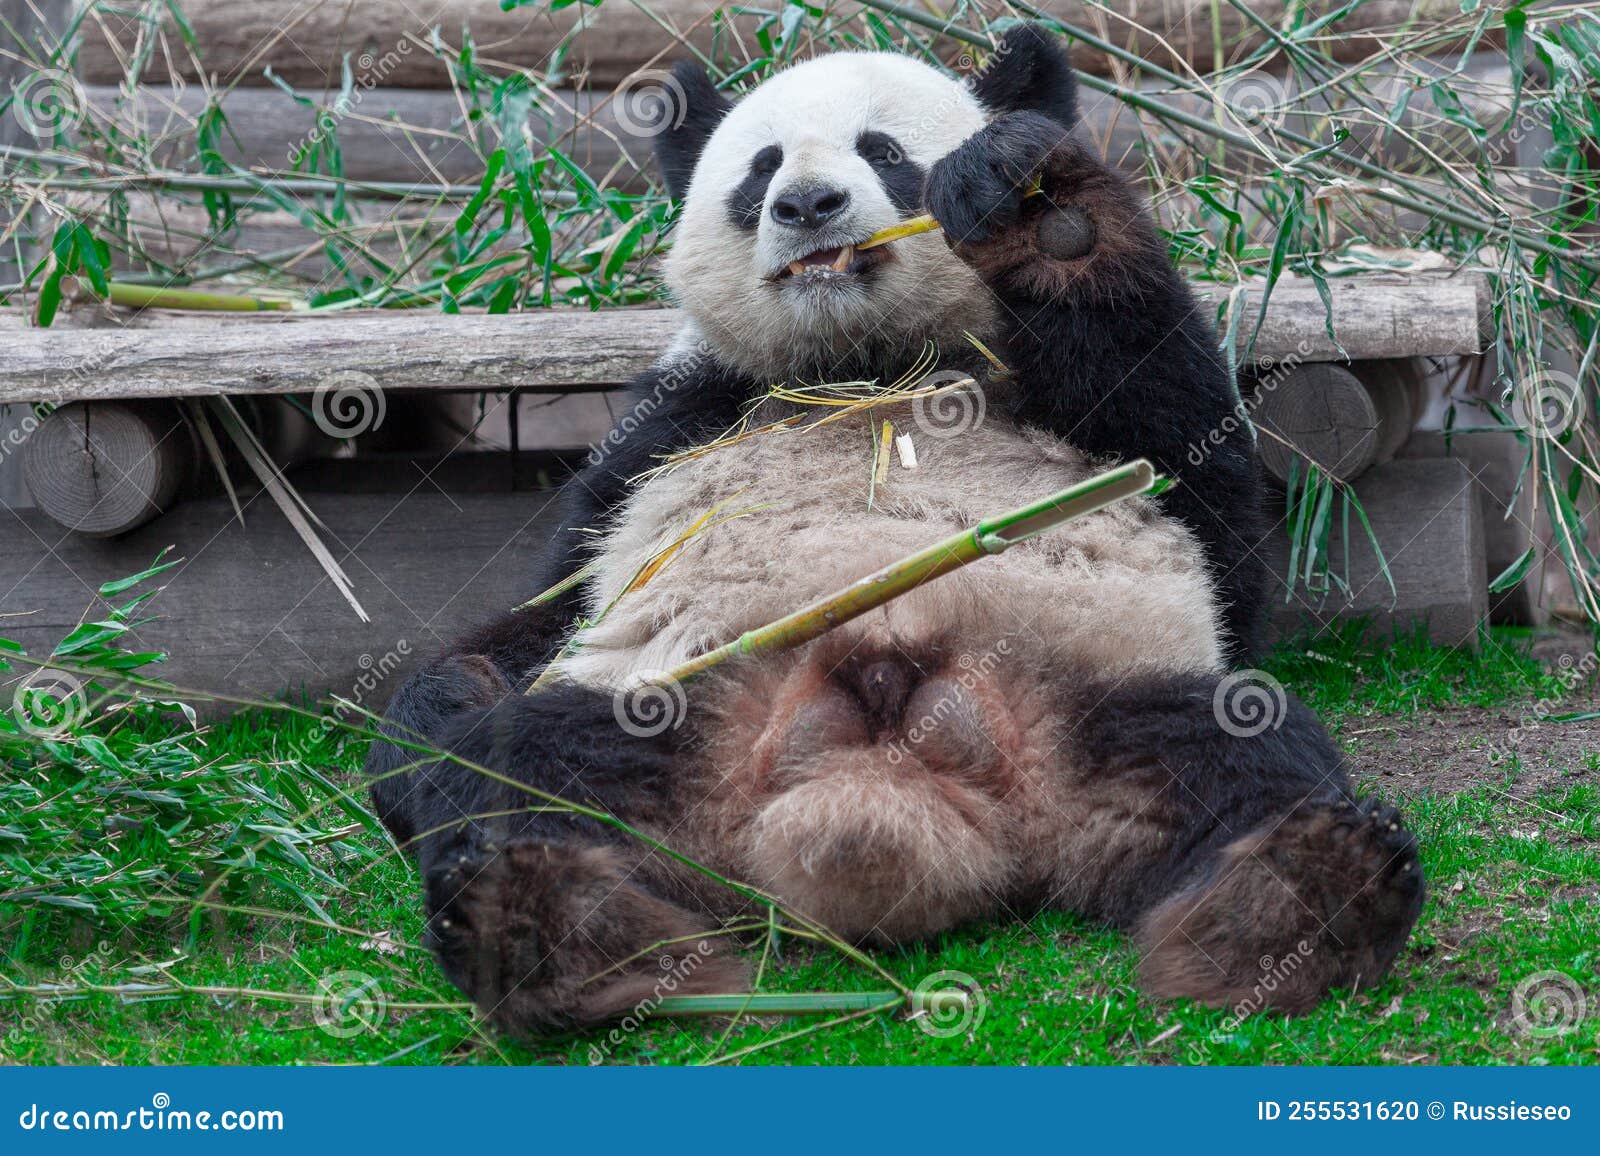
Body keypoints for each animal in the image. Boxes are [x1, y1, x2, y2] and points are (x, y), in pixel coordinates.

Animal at [366, 25, 1424, 1035]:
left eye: (884, 152)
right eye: (760, 167)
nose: (807, 204)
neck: (866, 371)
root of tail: (875, 790)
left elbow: (1215, 523)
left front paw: (1049, 220)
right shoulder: (677, 422)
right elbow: (553, 605)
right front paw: (452, 687)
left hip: (1101, 713)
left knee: (1245, 751)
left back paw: (1297, 900)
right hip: (663, 722)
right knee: (517, 769)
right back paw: (547, 925)